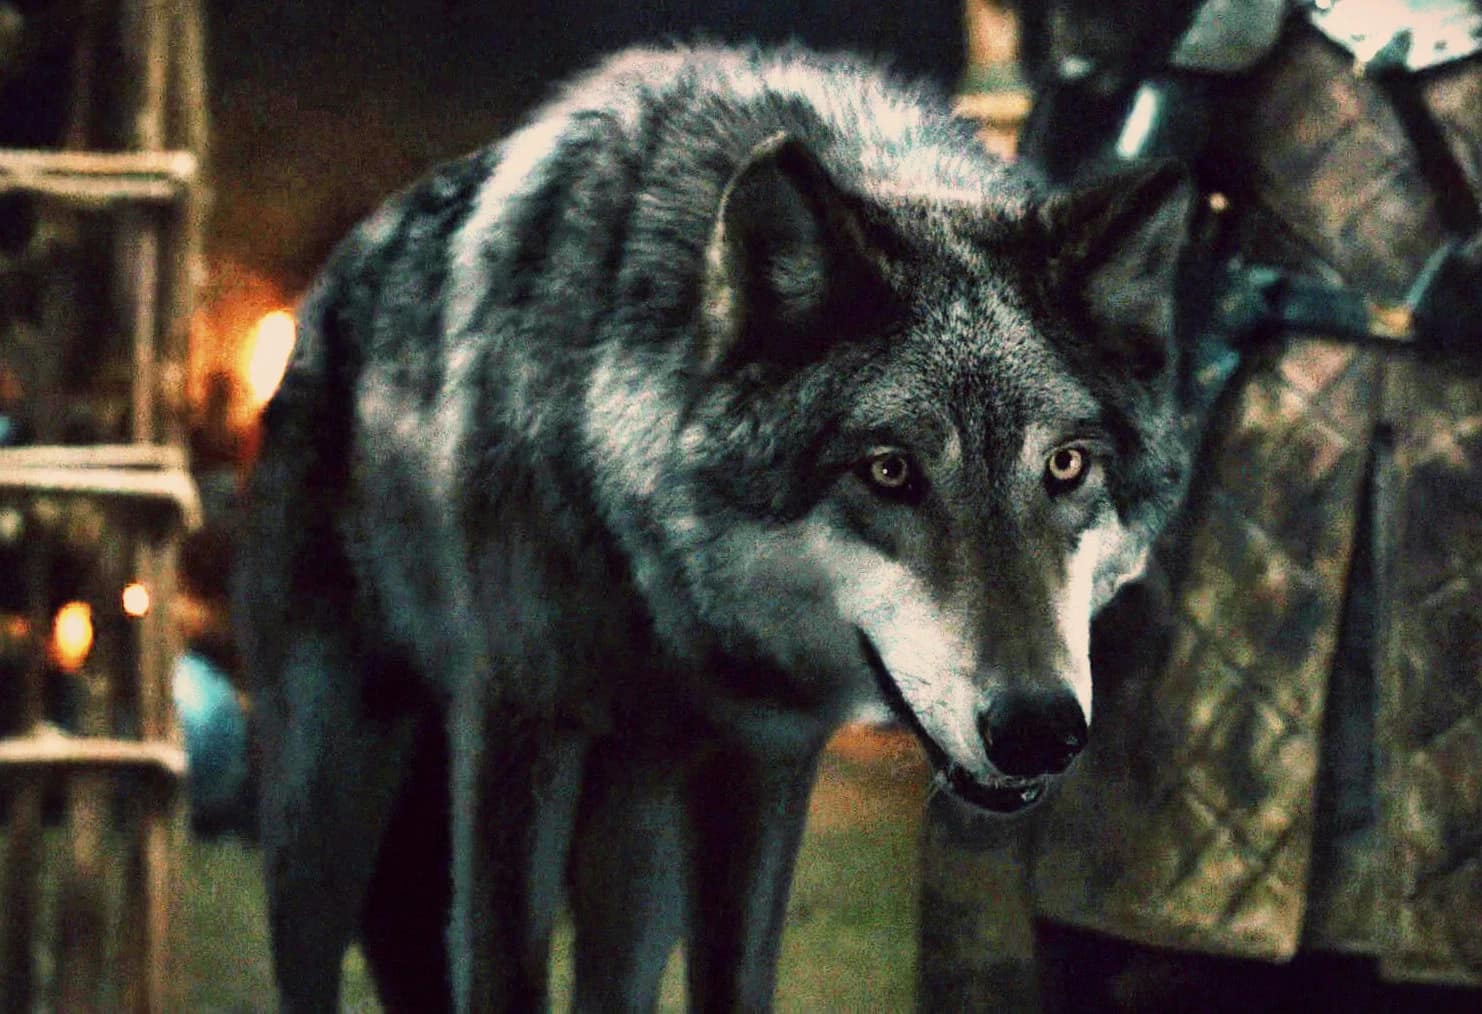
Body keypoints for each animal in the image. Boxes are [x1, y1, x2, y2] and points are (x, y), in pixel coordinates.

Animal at [233, 44, 1193, 1012]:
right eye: (889, 470)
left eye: (1064, 466)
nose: (1038, 729)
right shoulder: (513, 743)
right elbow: (503, 975)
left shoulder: (766, 767)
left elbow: (736, 979)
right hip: (322, 818)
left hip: (637, 856)